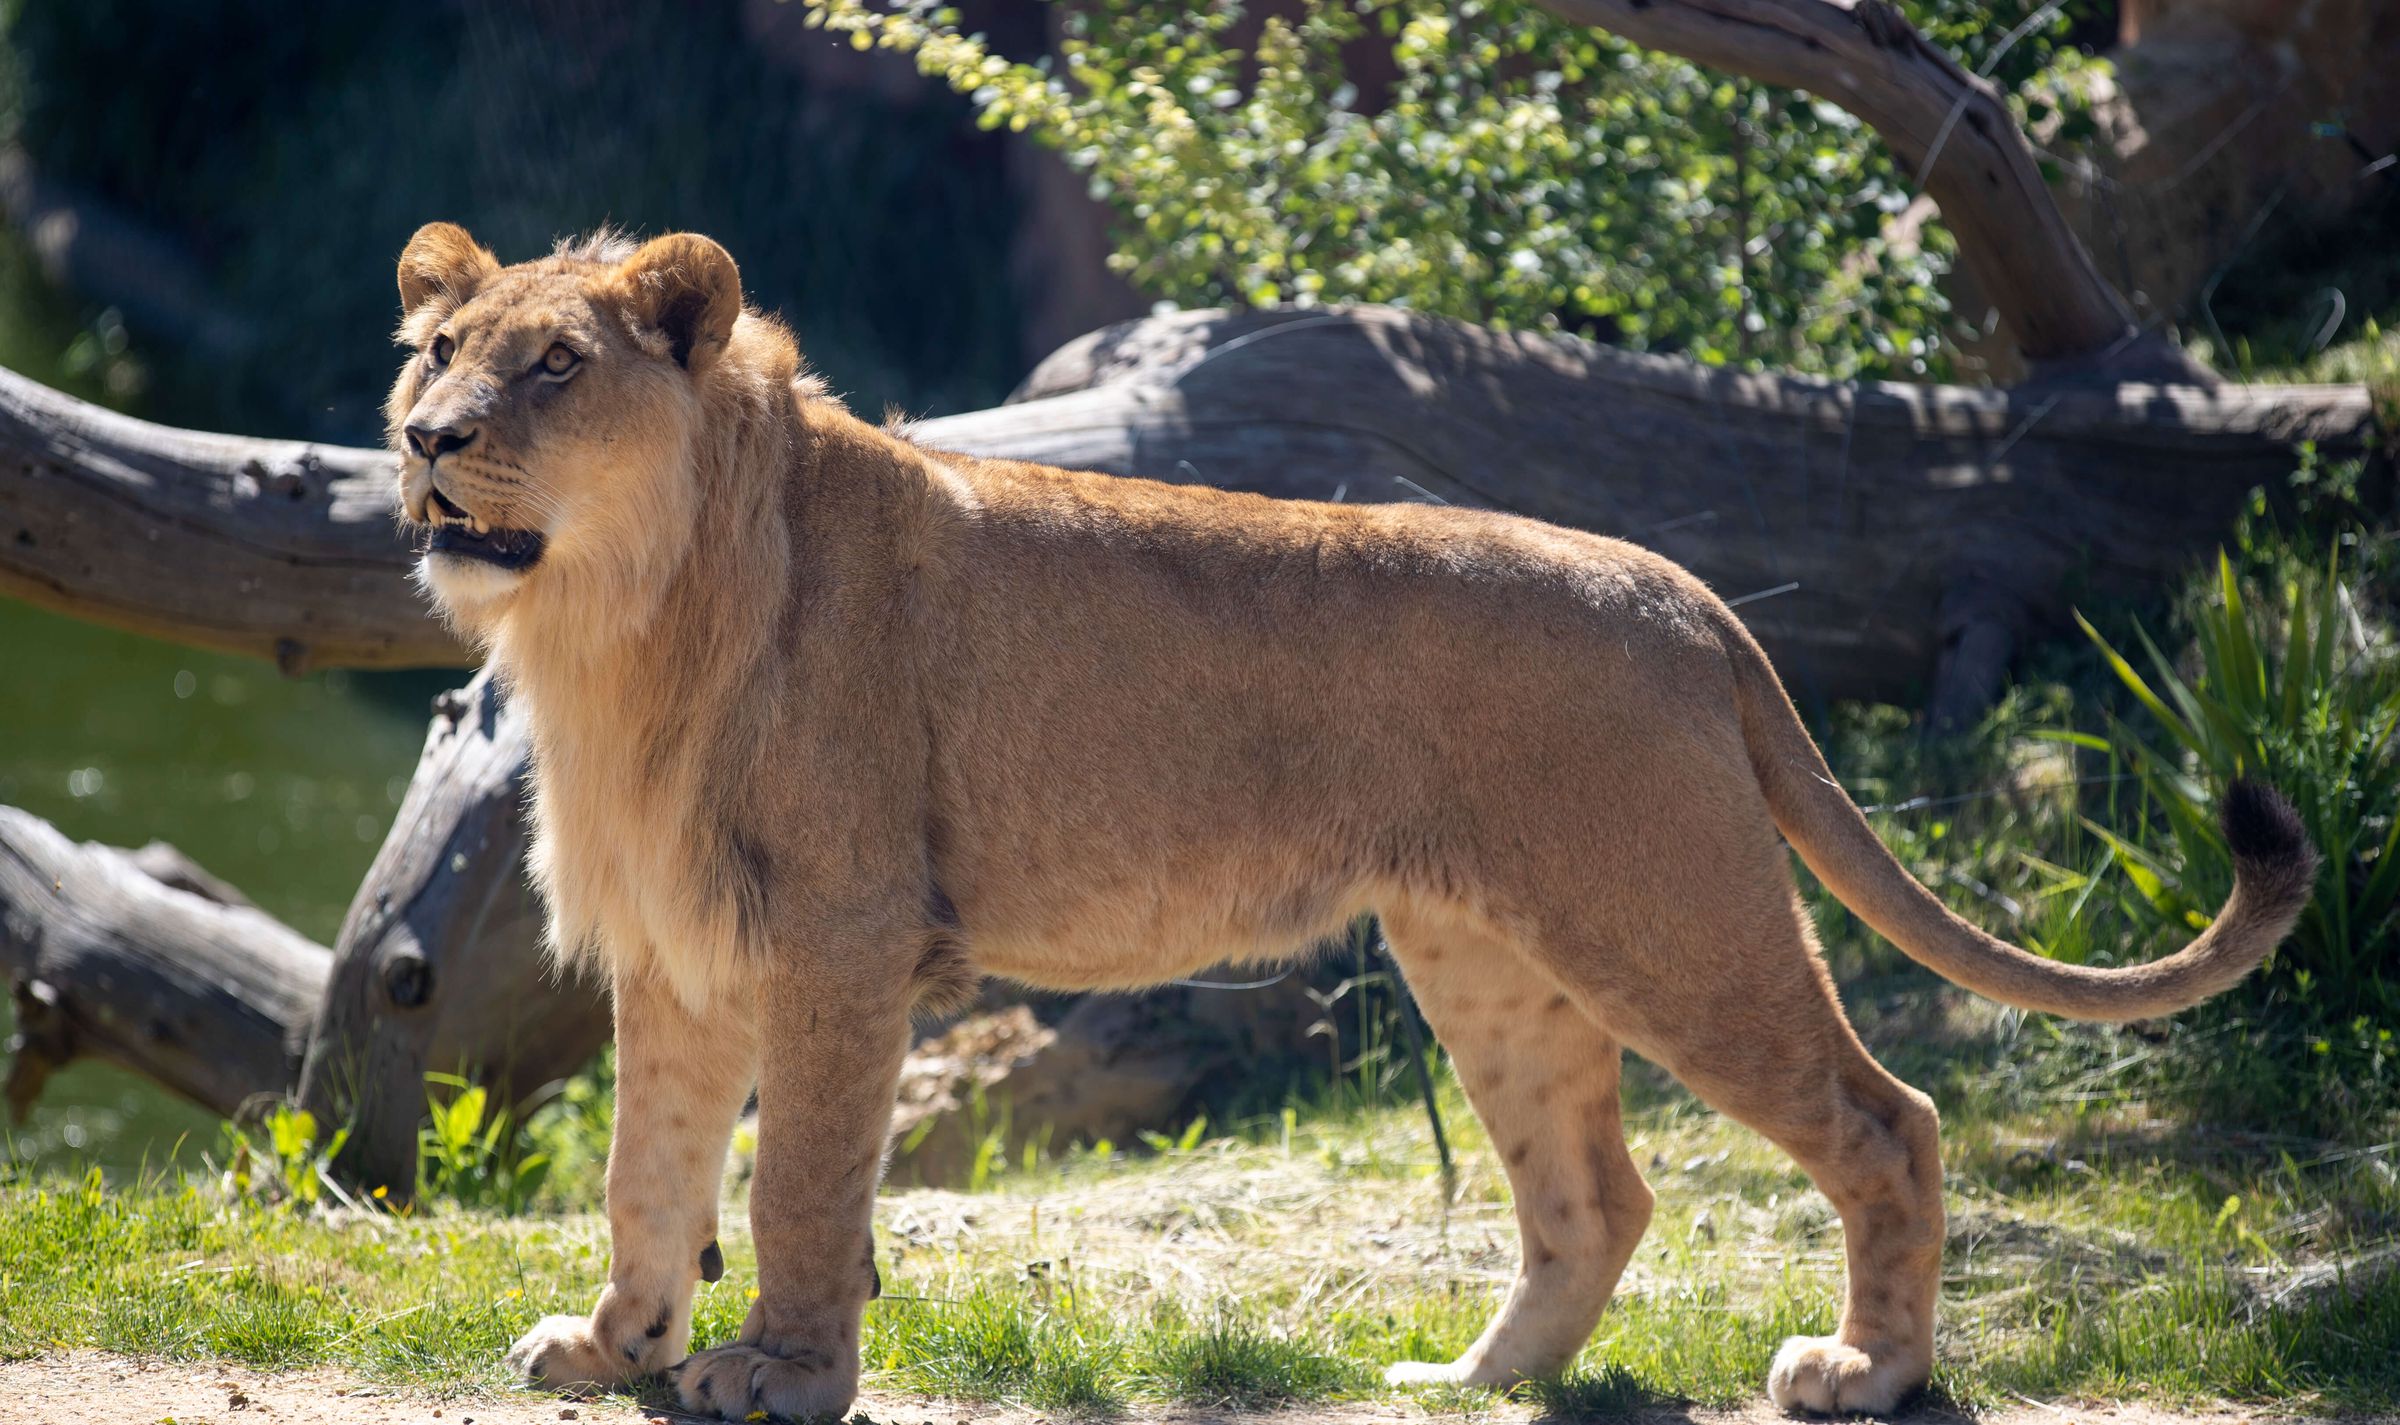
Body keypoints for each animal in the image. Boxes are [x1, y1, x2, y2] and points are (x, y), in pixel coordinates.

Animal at [385, 223, 2316, 1421]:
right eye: (436, 352)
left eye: (552, 368)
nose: (424, 442)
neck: (619, 624)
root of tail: (1686, 593)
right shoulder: (678, 947)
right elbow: (648, 1170)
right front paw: (620, 1343)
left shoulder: (844, 937)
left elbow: (792, 1182)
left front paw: (780, 1373)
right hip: (1487, 952)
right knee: (1595, 1191)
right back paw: (1476, 1381)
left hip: (1671, 916)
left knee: (1889, 1121)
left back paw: (1868, 1374)